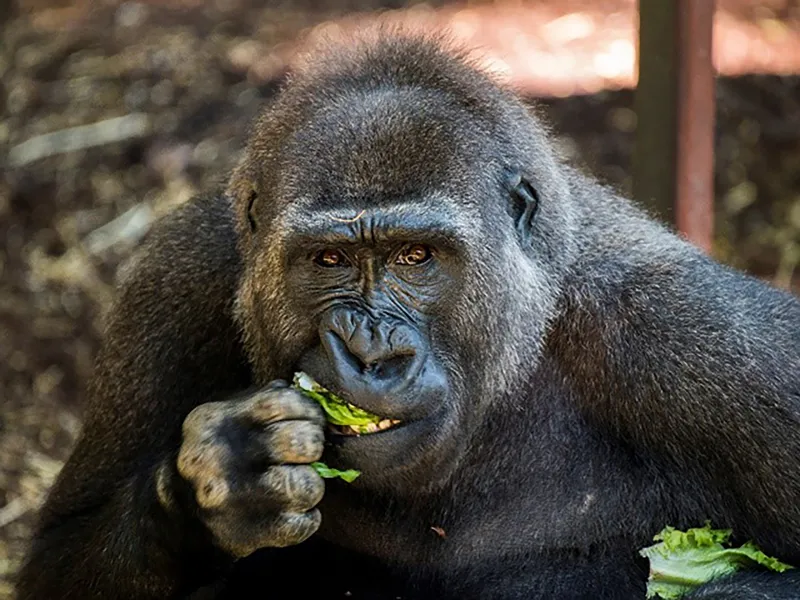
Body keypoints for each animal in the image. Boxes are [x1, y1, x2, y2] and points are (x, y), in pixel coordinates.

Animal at [17, 31, 800, 600]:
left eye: (417, 256)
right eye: (329, 259)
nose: (372, 355)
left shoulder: (709, 347)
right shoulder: (179, 276)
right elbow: (59, 554)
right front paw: (227, 479)